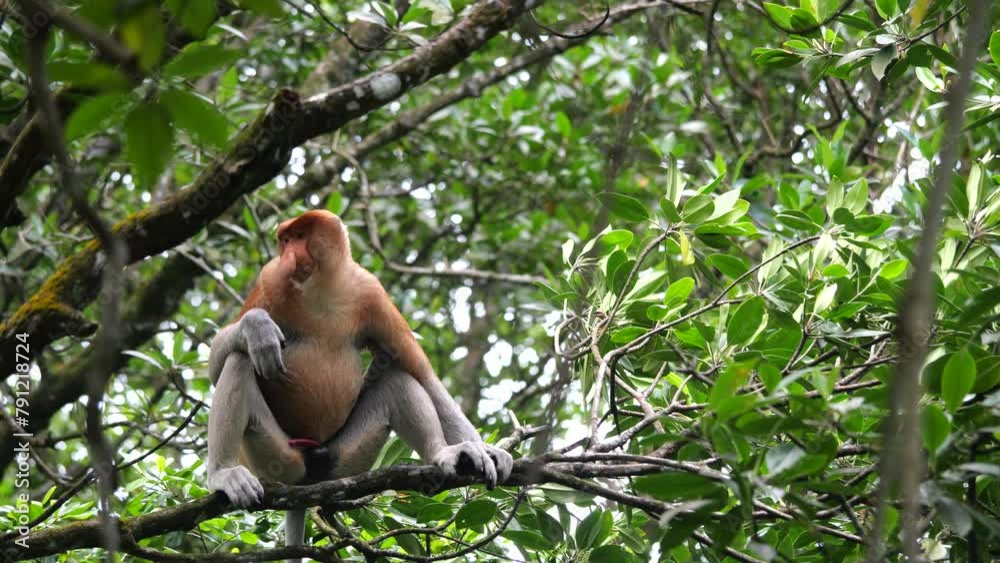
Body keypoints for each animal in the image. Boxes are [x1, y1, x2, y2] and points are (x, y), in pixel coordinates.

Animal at [205, 210, 513, 562]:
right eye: (285, 240)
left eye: (299, 236)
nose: (288, 257)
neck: (322, 289)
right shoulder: (270, 280)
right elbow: (217, 363)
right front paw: (257, 329)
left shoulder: (370, 292)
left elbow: (419, 372)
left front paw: (484, 449)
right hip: (275, 458)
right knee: (239, 360)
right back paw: (224, 475)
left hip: (345, 462)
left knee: (396, 380)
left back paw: (444, 454)